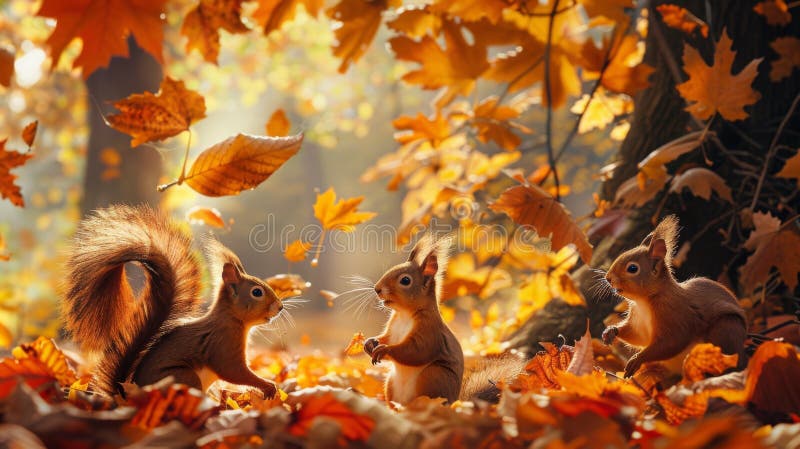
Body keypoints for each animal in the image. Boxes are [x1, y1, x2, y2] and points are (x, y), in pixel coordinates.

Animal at [63, 204, 283, 398]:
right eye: (257, 292)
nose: (280, 307)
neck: (231, 319)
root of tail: (128, 394)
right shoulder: (222, 342)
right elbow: (232, 371)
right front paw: (268, 387)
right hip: (182, 377)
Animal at [364, 235, 523, 404]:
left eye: (405, 280)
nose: (377, 288)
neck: (405, 314)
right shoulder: (393, 328)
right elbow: (386, 337)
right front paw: (369, 342)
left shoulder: (429, 329)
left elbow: (416, 350)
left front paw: (385, 350)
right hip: (391, 382)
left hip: (433, 377)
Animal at [601, 215, 747, 378]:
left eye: (633, 268)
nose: (608, 278)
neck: (644, 301)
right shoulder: (638, 320)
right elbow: (637, 336)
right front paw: (611, 331)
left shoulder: (674, 314)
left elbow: (671, 342)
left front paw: (638, 359)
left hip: (726, 329)